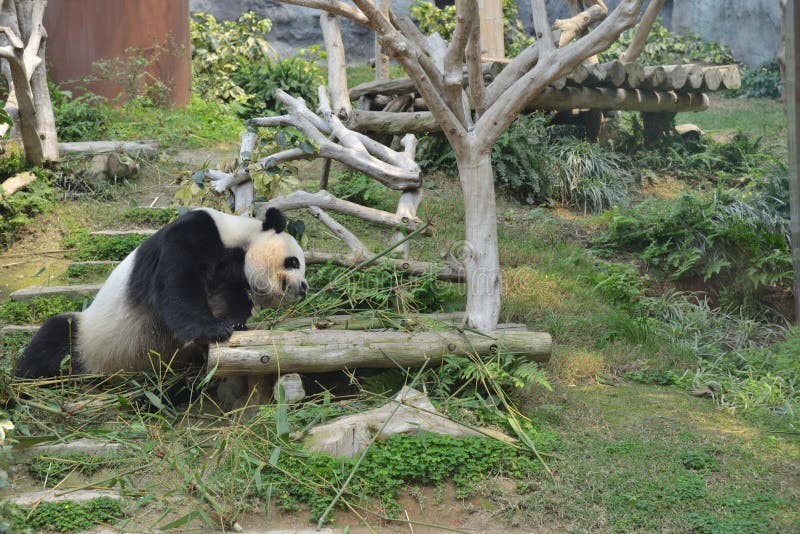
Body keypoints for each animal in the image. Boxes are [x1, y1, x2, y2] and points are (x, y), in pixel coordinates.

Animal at [15, 207, 307, 378]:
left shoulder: (232, 276)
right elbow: (179, 281)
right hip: (88, 337)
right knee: (53, 339)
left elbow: (232, 298)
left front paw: (236, 324)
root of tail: (111, 372)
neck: (238, 239)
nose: (304, 288)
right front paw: (214, 330)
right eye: (293, 262)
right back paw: (23, 384)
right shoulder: (198, 230)